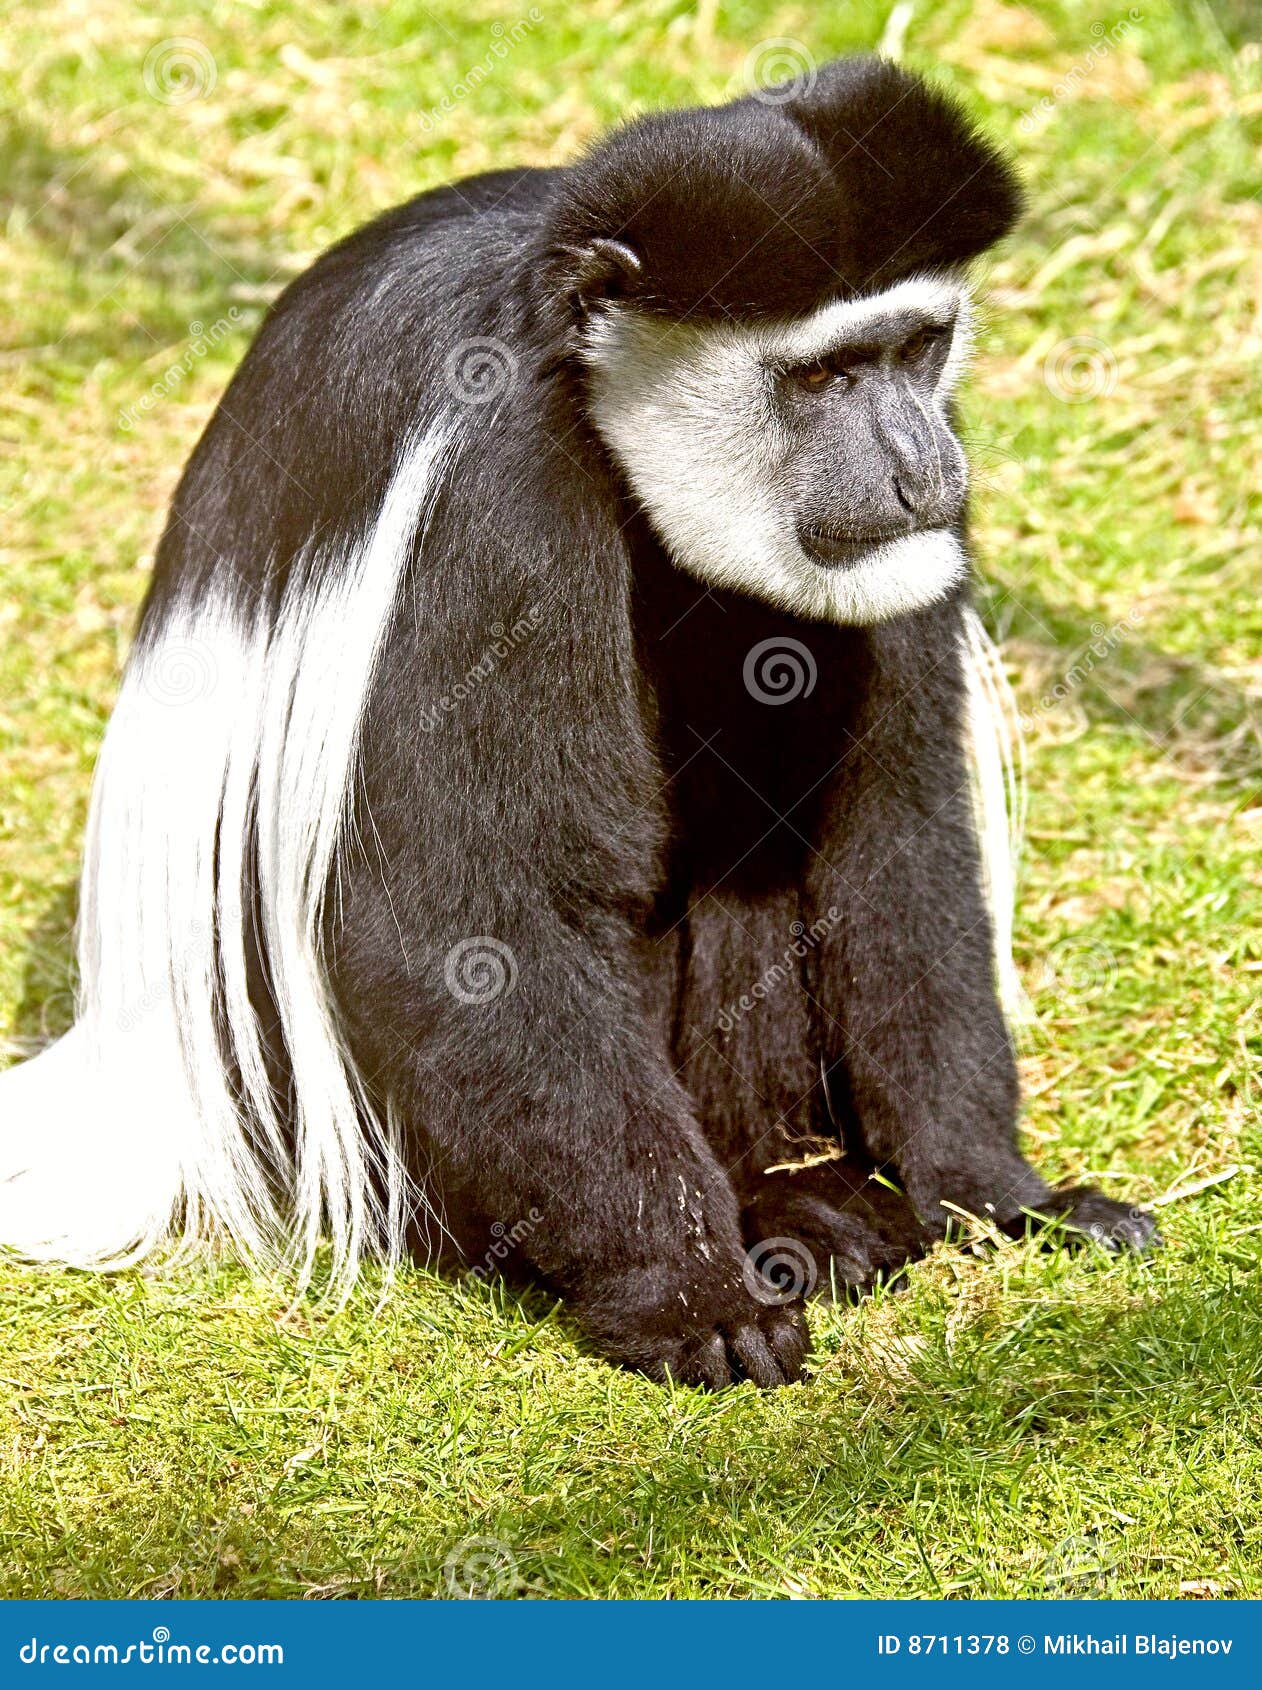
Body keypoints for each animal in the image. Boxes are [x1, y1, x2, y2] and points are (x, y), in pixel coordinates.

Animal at [0, 56, 1155, 1389]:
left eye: (916, 349)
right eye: (820, 377)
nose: (923, 468)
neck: (580, 362)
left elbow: (895, 841)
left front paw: (1002, 1199)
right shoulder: (494, 496)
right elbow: (463, 916)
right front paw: (698, 1301)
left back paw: (804, 1197)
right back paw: (779, 1225)